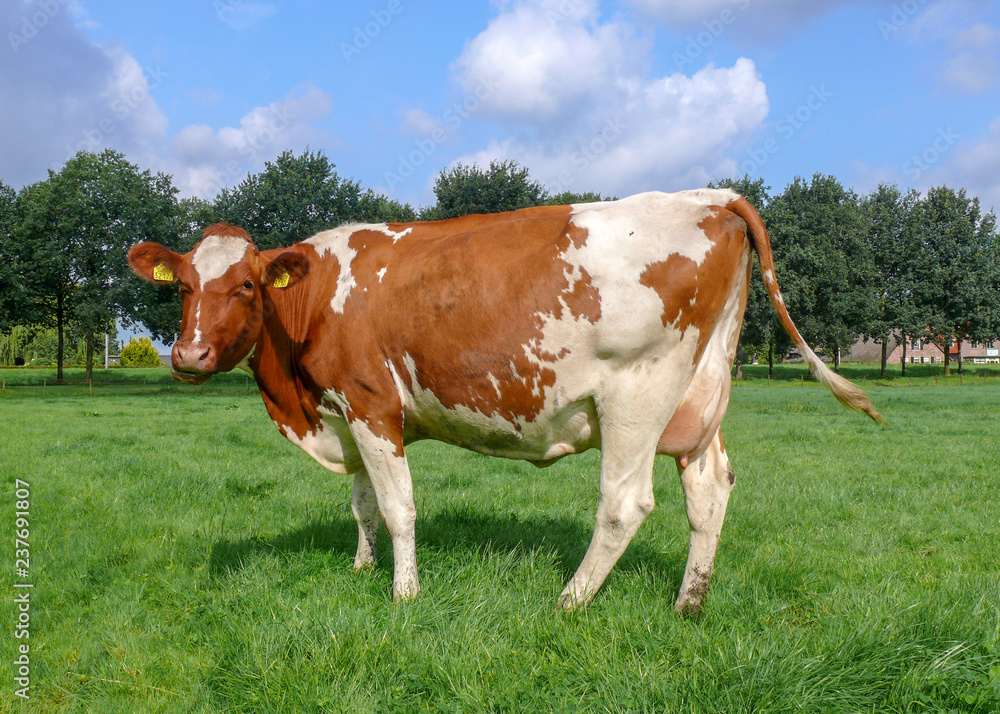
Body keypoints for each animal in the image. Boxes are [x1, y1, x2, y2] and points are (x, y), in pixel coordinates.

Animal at [128, 188, 882, 615]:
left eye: (246, 286)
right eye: (185, 286)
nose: (187, 356)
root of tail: (708, 195)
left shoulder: (373, 407)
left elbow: (399, 508)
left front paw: (403, 593)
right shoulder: (347, 416)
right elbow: (363, 503)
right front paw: (363, 566)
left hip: (637, 395)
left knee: (624, 504)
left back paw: (571, 601)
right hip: (700, 399)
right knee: (710, 490)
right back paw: (688, 603)